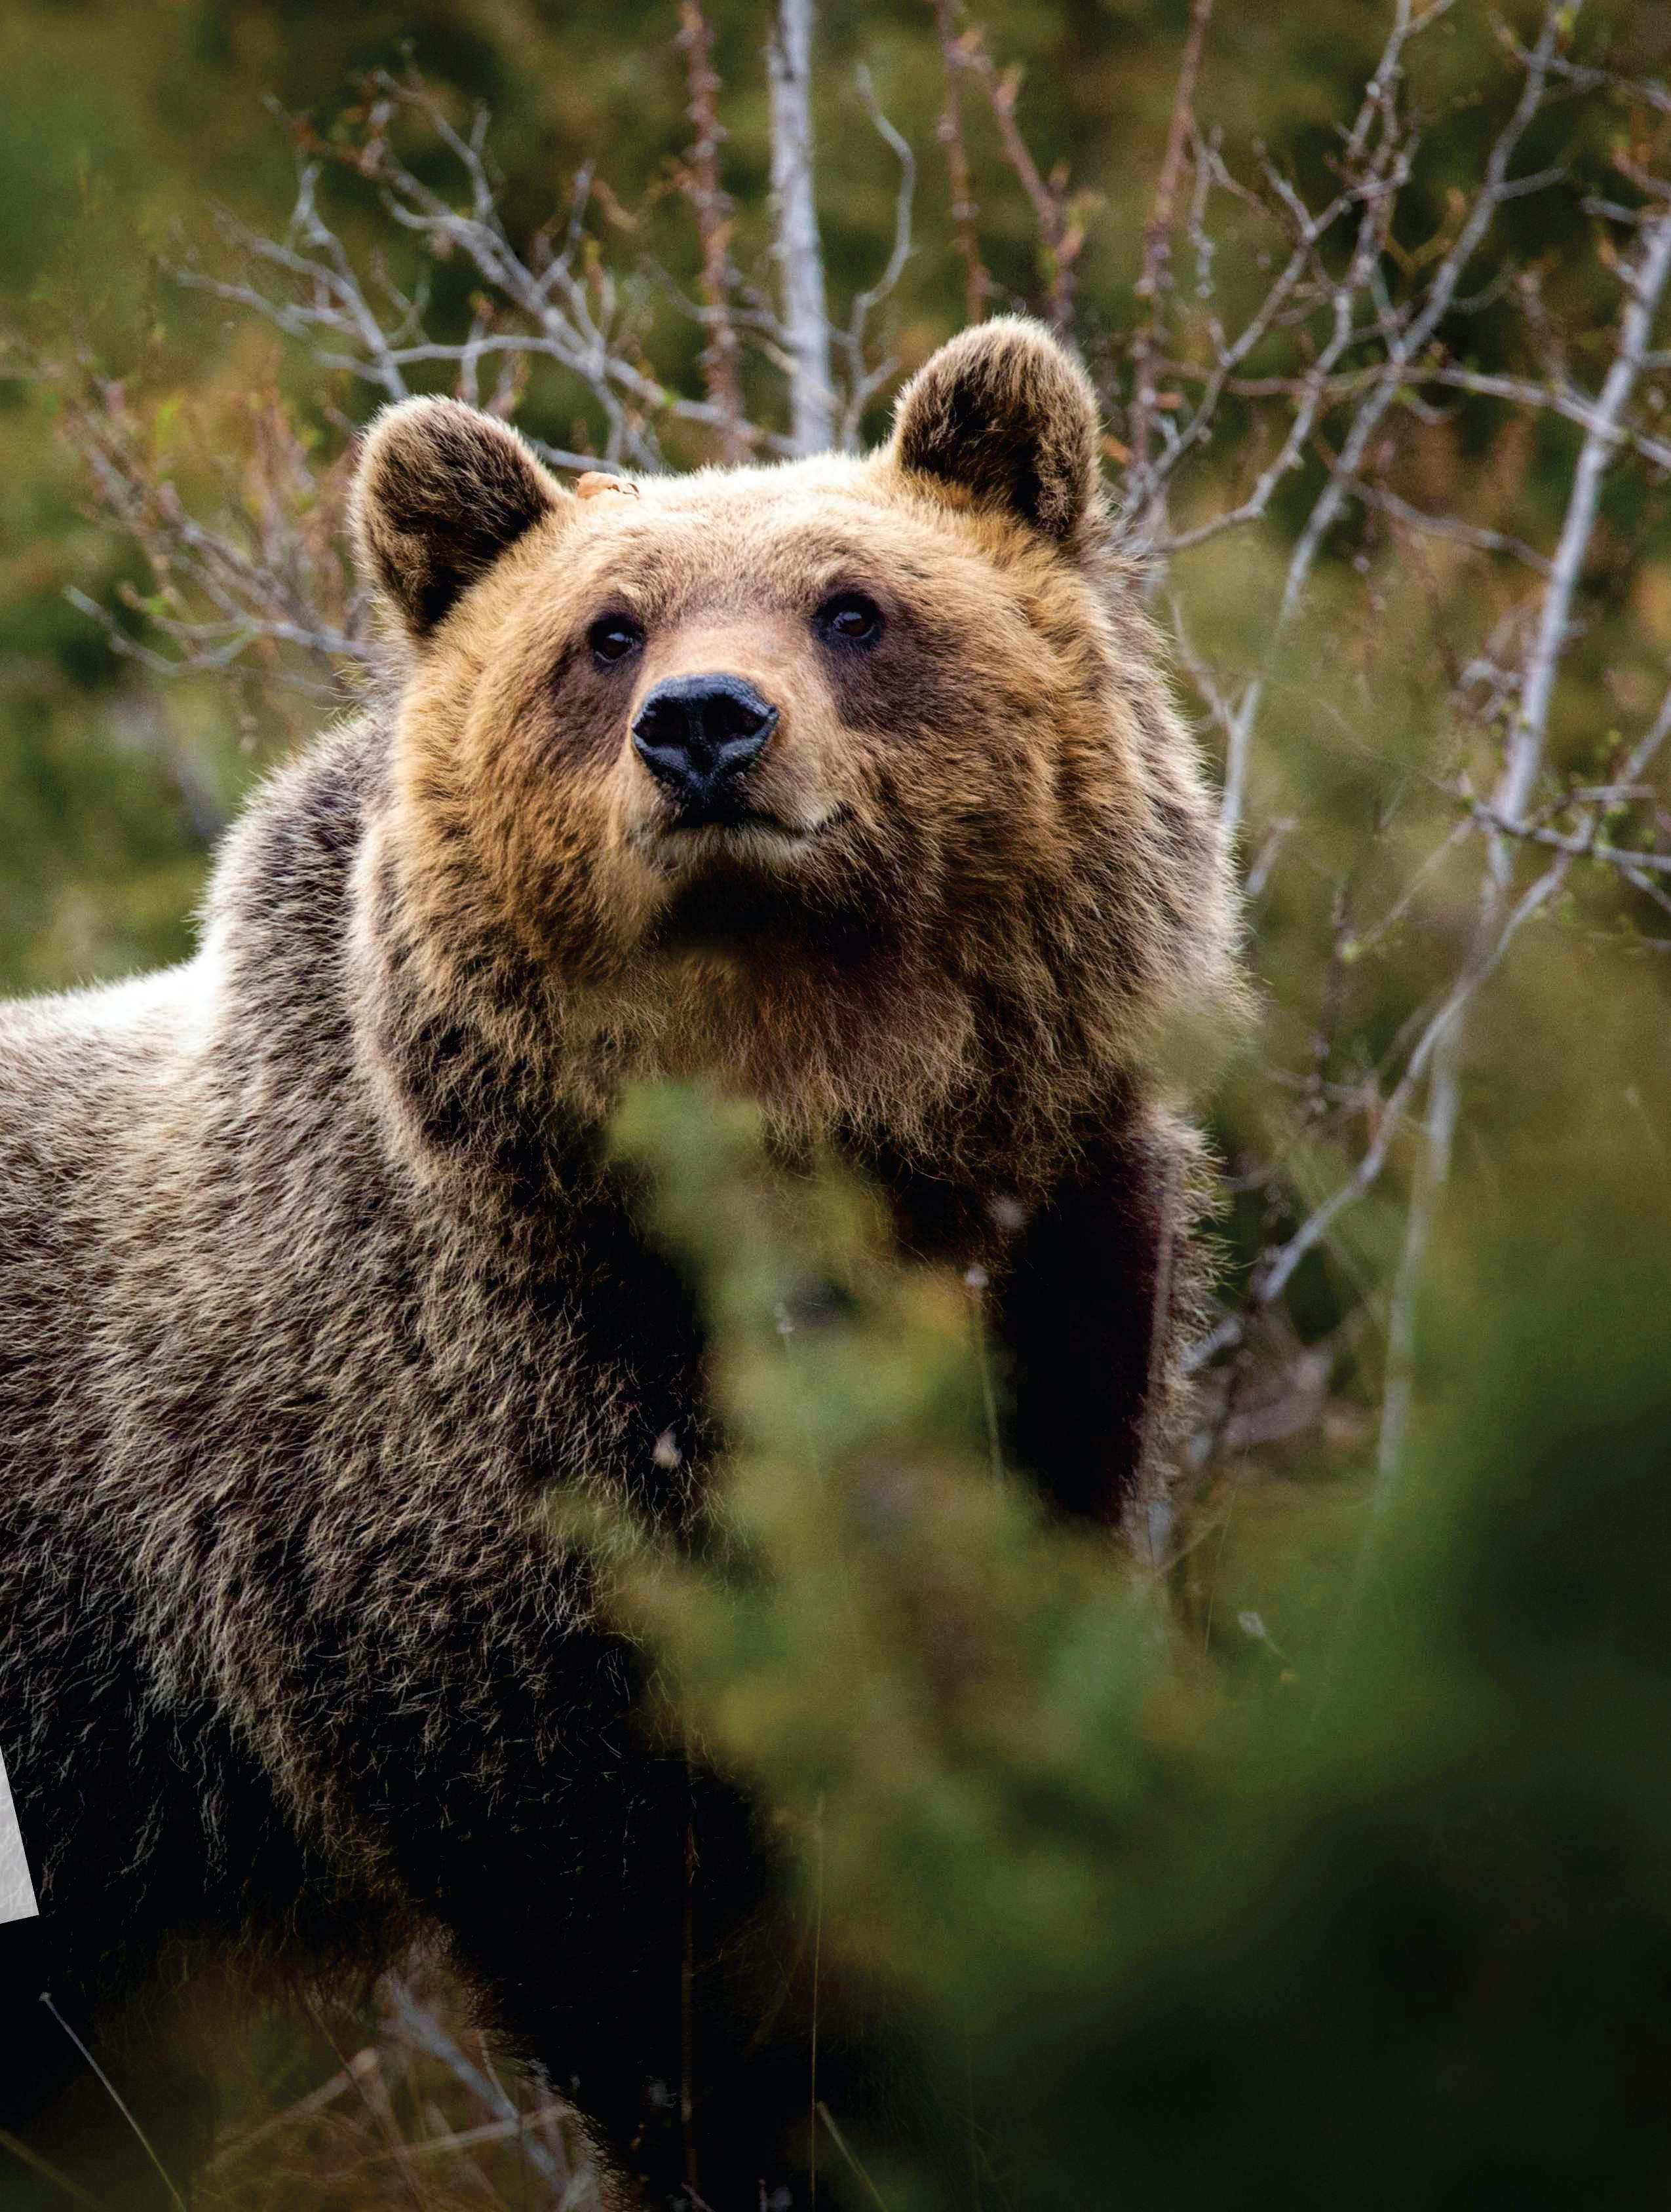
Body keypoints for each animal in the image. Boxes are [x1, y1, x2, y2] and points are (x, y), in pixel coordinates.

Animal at [0, 319, 1238, 2205]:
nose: (705, 725)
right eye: (607, 628)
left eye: (853, 604)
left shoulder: (1045, 1298)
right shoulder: (462, 1455)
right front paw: (797, 2126)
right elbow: (637, 1900)